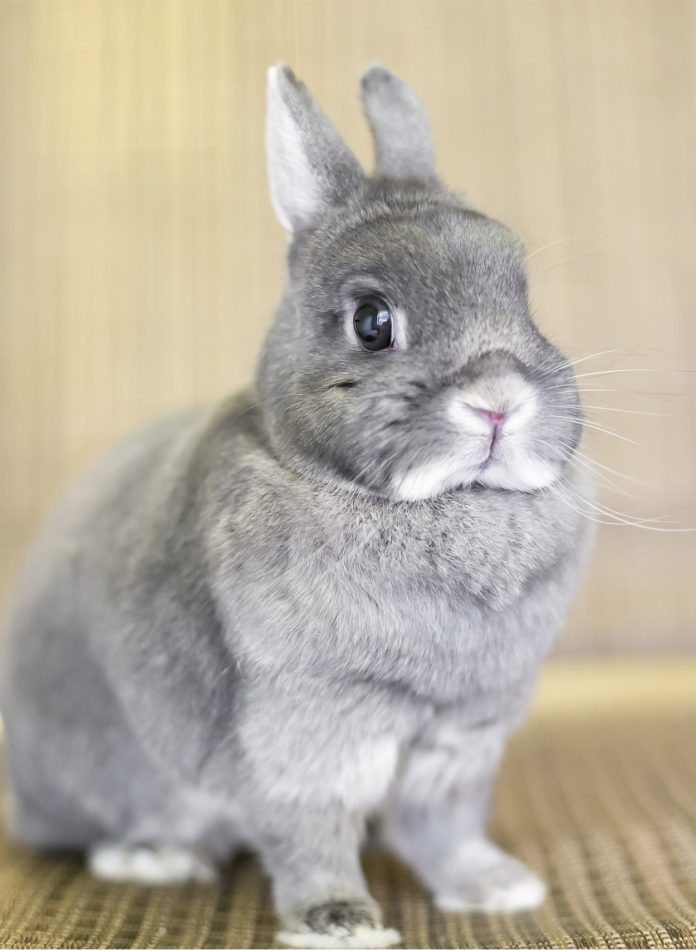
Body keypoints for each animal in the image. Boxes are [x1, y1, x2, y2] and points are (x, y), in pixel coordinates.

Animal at [0, 64, 593, 949]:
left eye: (526, 300)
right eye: (372, 322)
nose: (499, 401)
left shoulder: (461, 740)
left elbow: (443, 829)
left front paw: (497, 888)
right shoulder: (308, 728)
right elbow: (311, 833)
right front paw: (340, 921)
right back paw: (153, 858)